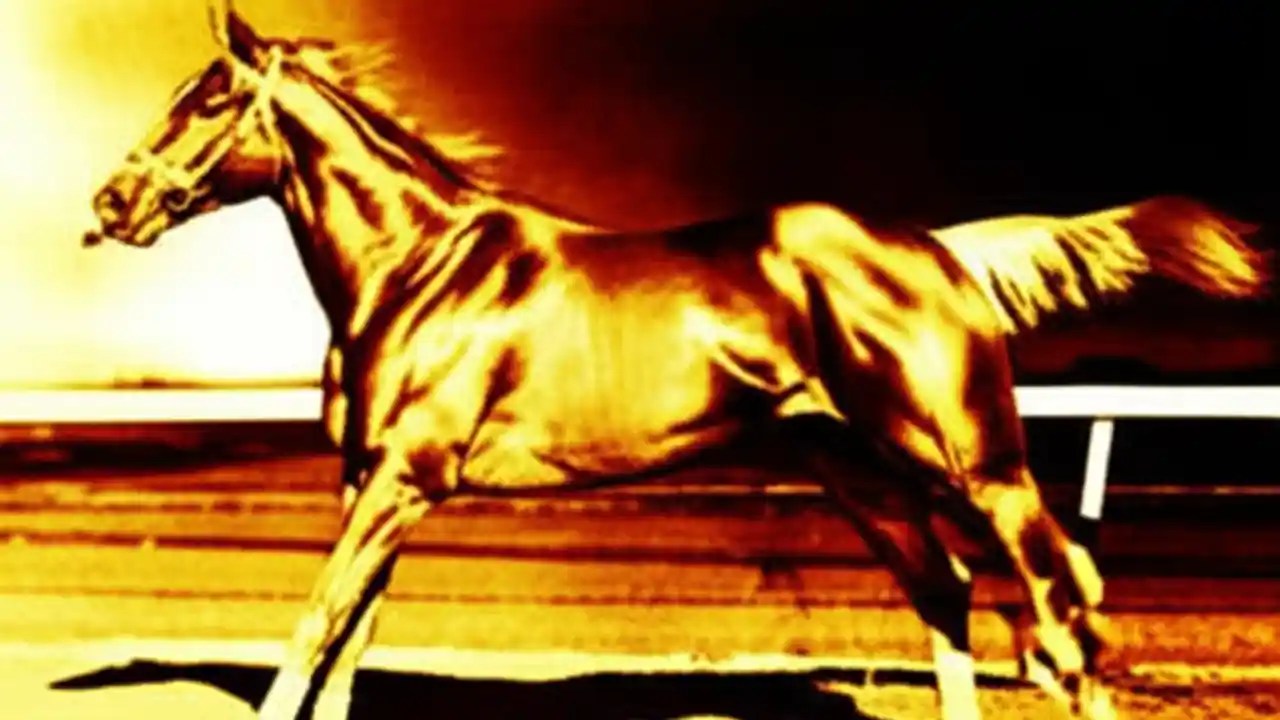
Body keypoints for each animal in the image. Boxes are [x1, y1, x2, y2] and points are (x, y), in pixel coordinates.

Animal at [83, 6, 1268, 720]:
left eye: (208, 101)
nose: (111, 203)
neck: (416, 268)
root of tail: (941, 252)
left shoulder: (403, 480)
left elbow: (315, 625)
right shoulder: (367, 480)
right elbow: (347, 637)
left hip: (979, 466)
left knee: (1065, 598)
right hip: (856, 470)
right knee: (947, 586)